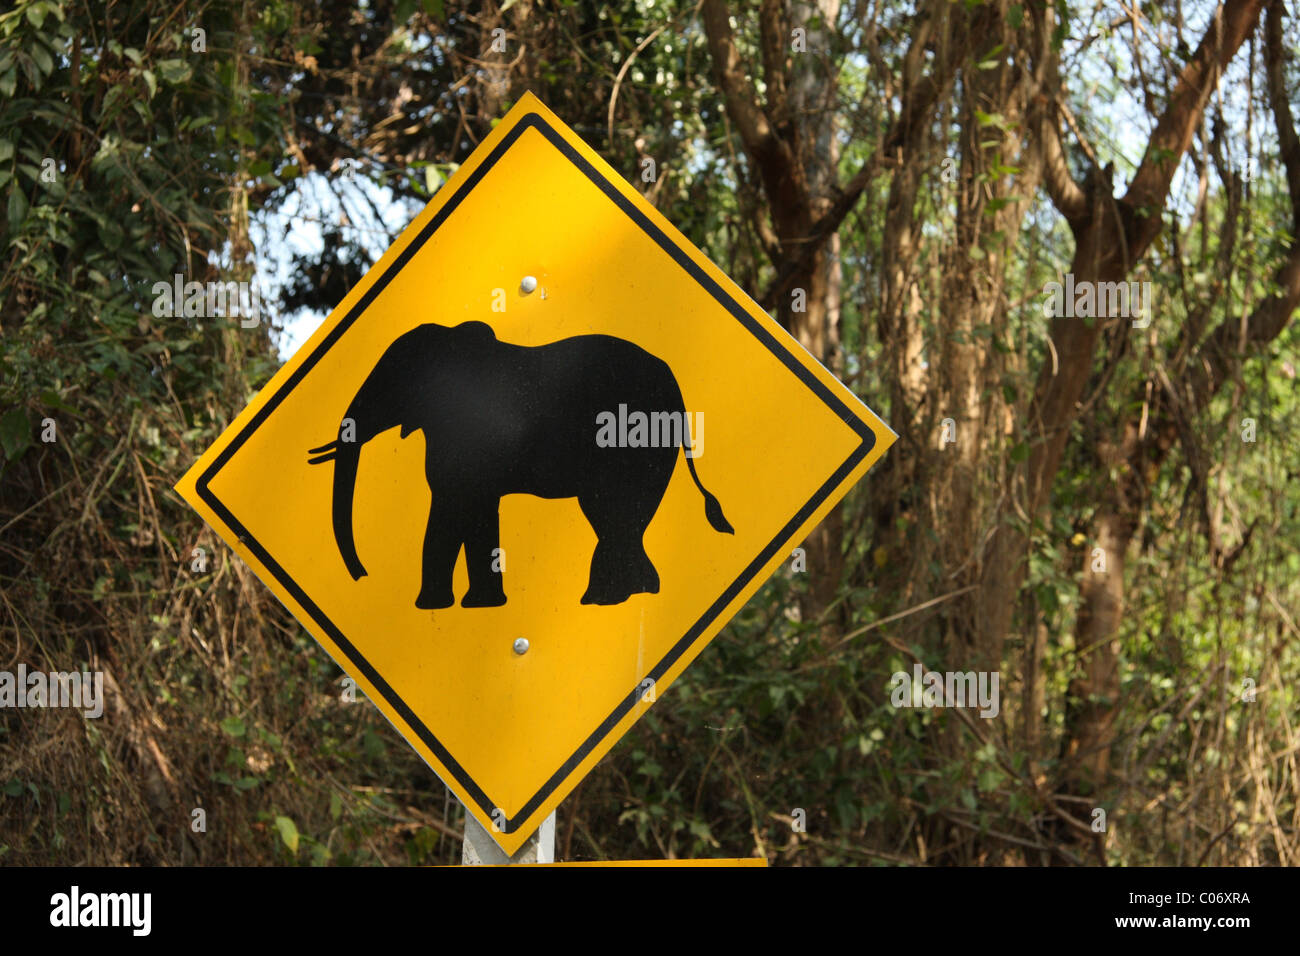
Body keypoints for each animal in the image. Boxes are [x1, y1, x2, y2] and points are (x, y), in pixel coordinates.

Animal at [307, 321, 733, 609]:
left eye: (390, 383)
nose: (361, 575)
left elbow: (453, 511)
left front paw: (444, 606)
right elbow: (467, 510)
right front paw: (469, 606)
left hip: (636, 440)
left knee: (614, 513)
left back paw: (607, 600)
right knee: (620, 519)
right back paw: (629, 595)